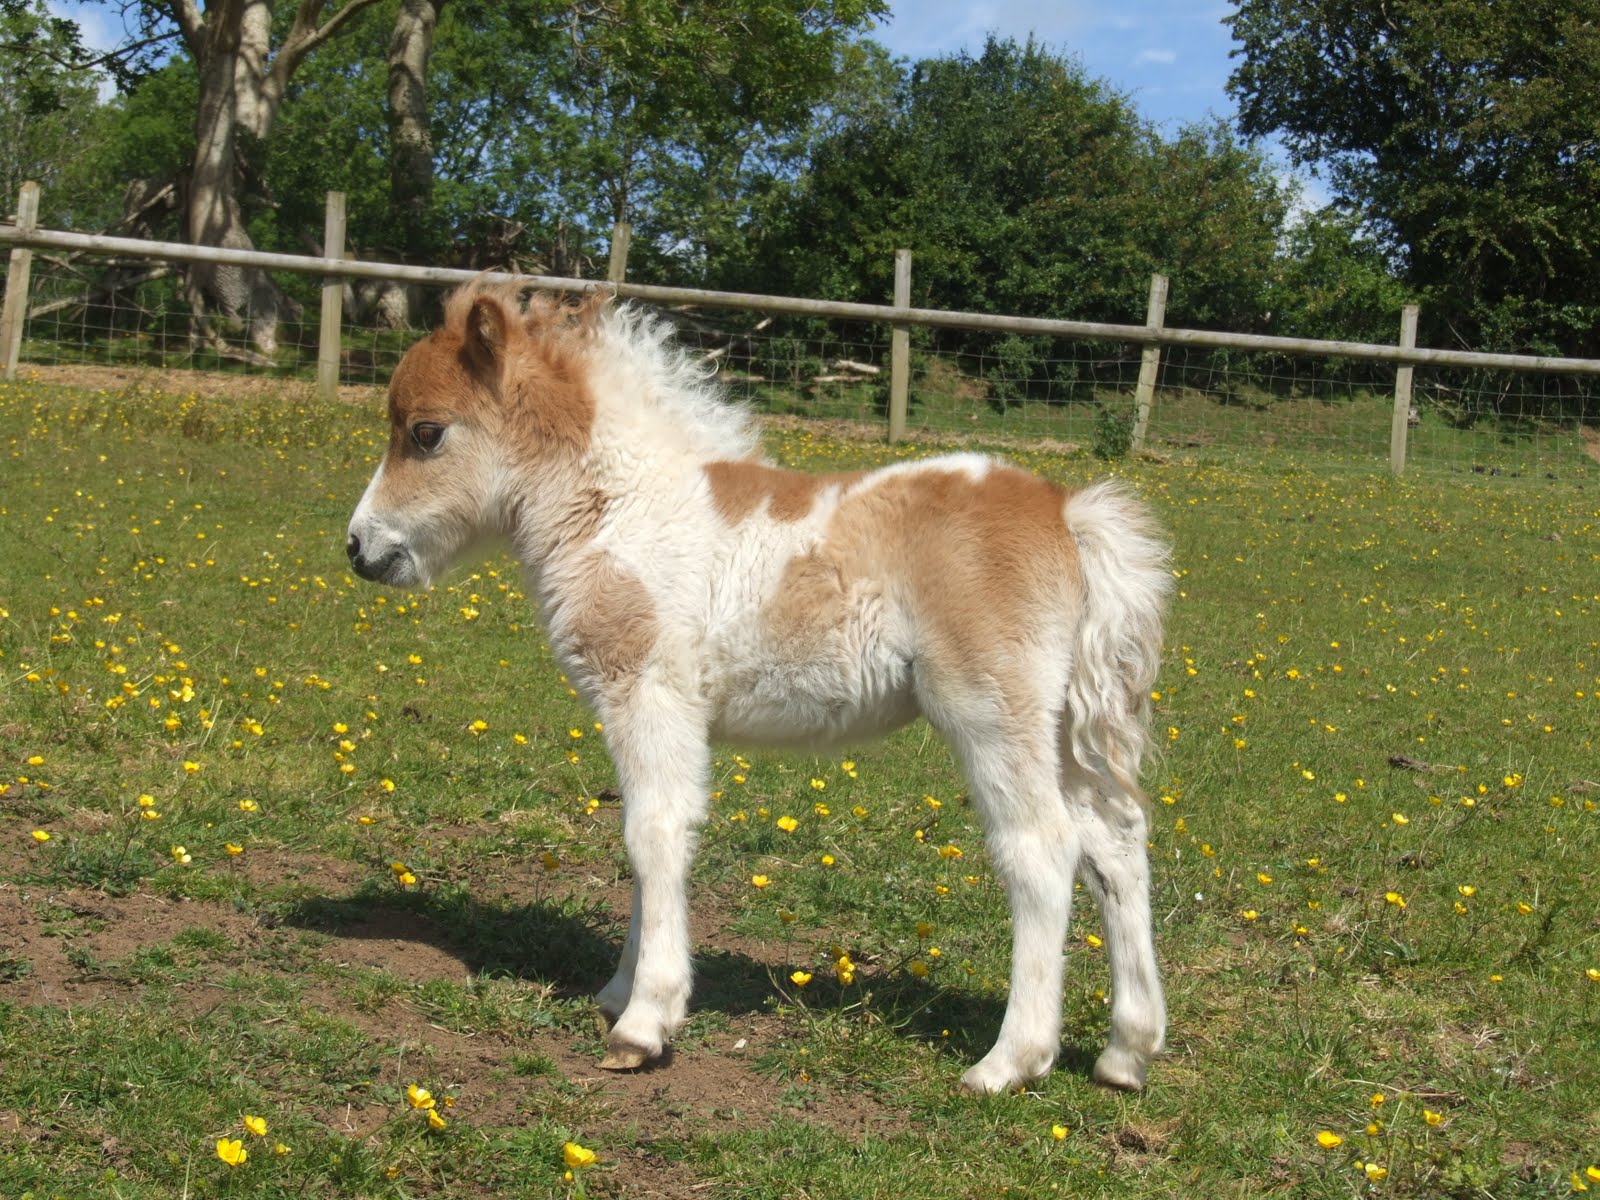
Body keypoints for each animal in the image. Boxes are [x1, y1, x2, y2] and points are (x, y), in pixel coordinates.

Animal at [346, 283, 1172, 1094]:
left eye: (426, 433)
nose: (359, 547)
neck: (621, 509)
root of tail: (1065, 513)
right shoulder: (655, 710)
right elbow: (655, 835)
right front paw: (620, 990)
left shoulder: (648, 694)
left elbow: (652, 834)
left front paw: (643, 1022)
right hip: (1060, 728)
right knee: (1115, 844)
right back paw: (1125, 1054)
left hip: (993, 716)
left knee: (1043, 851)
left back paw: (1009, 1062)